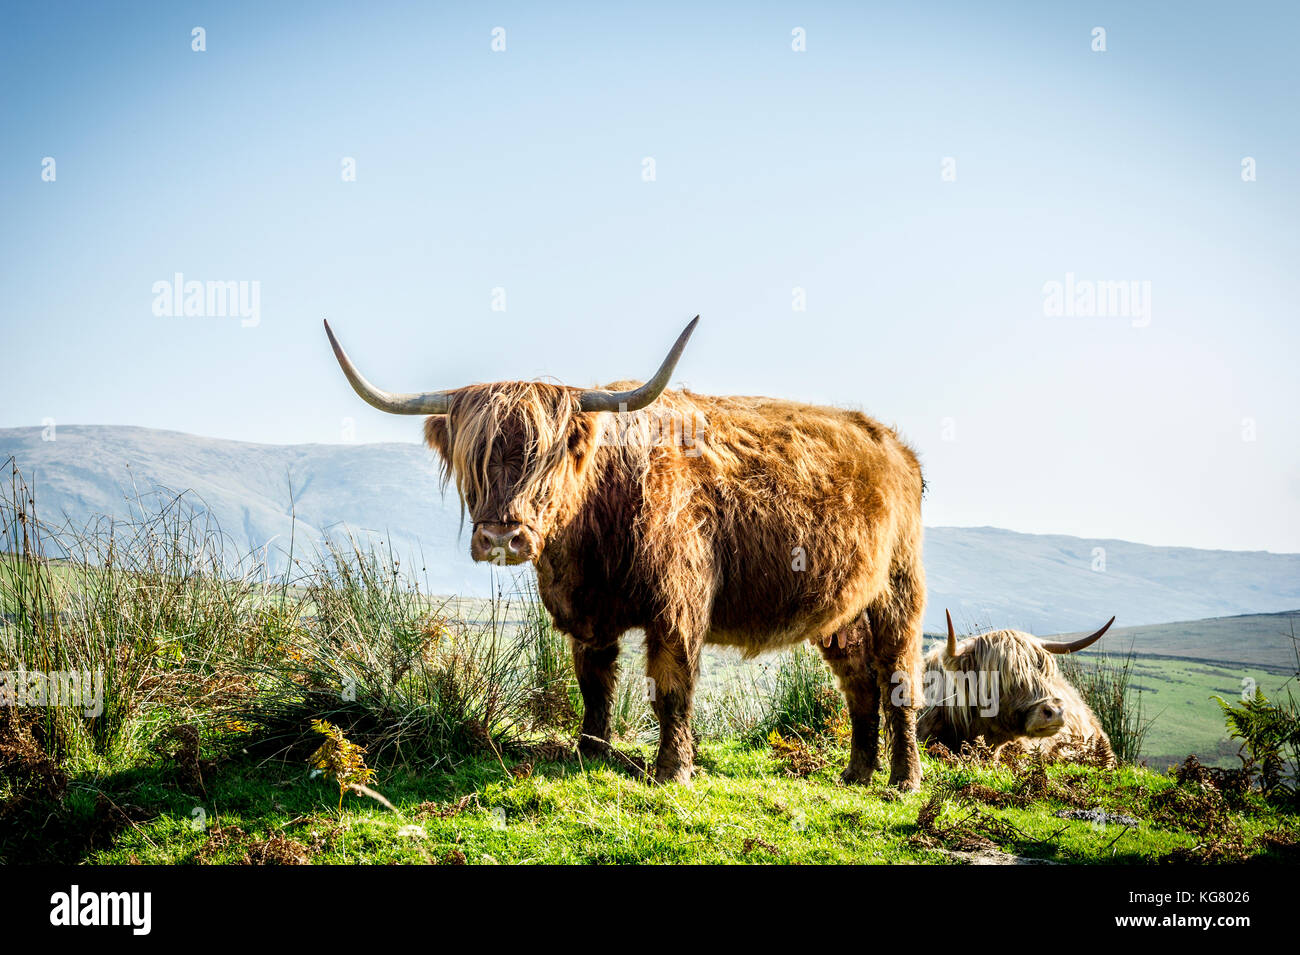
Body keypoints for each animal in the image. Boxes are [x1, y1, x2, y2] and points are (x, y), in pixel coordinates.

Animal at [324, 317, 927, 788]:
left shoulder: (678, 607)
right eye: (474, 460)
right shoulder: (584, 612)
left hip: (898, 589)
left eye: (545, 460)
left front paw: (673, 770)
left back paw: (902, 780)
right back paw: (857, 772)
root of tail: (894, 446)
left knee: (897, 678)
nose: (500, 539)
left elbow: (671, 688)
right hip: (842, 607)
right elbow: (593, 683)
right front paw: (589, 751)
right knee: (858, 680)